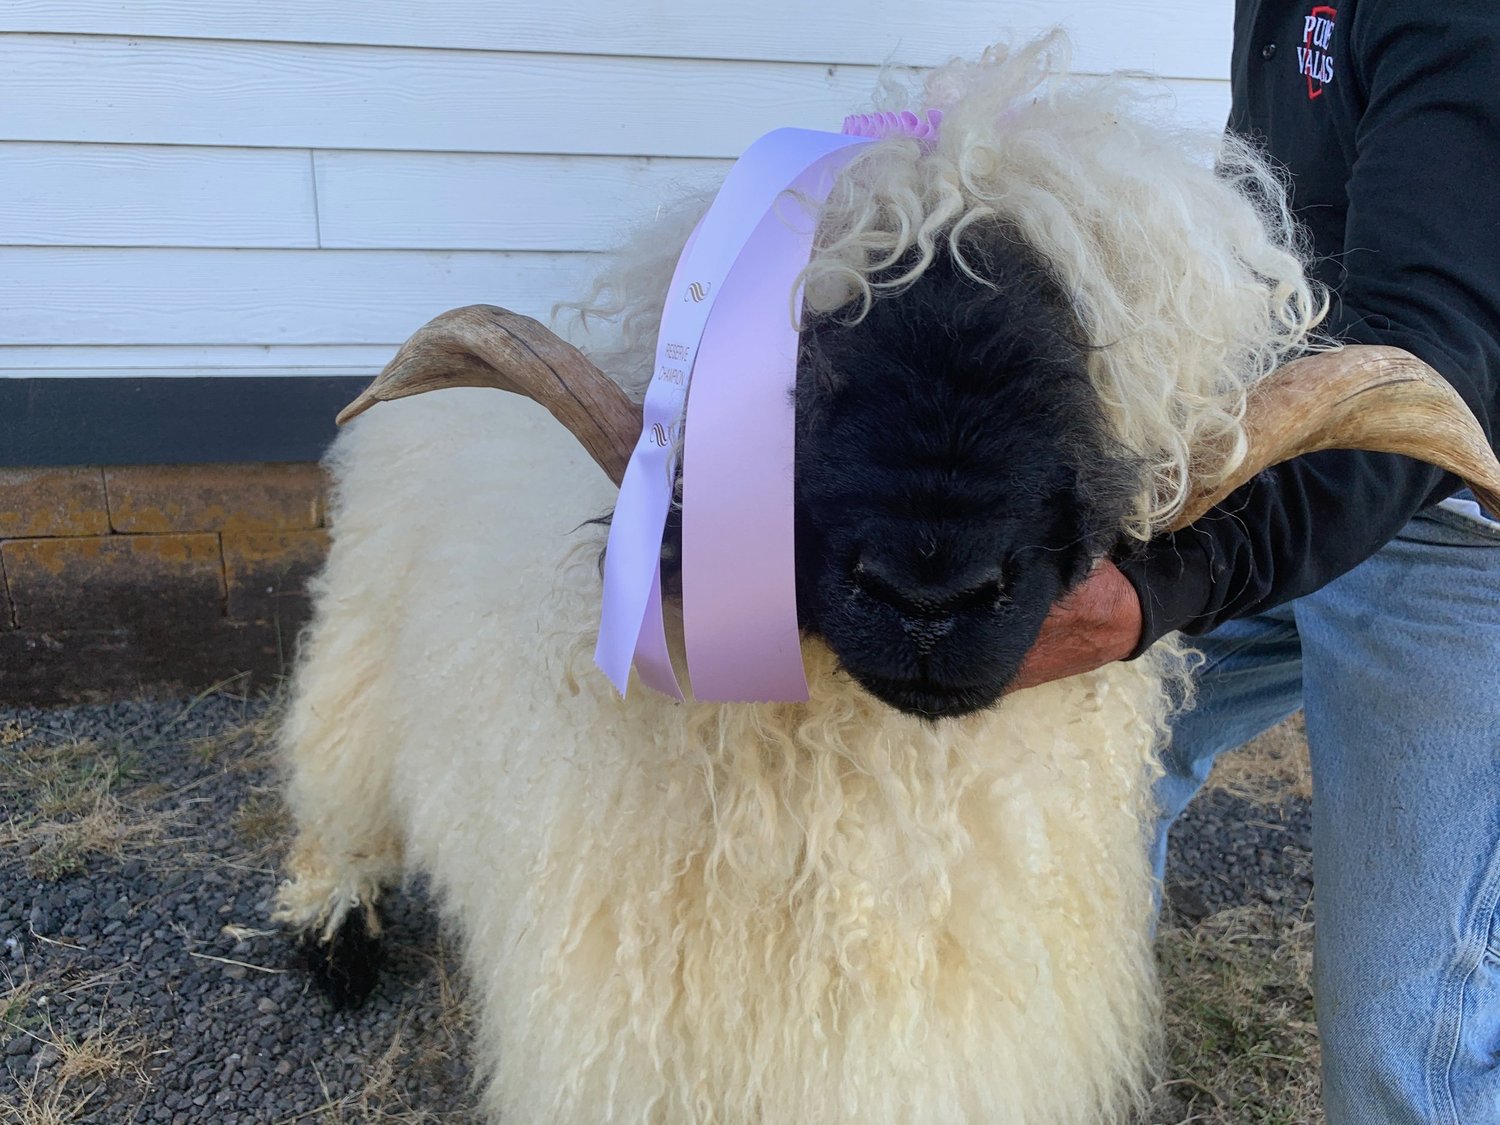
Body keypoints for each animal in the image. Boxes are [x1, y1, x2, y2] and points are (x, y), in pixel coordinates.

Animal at [271, 35, 1500, 1125]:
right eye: (810, 350)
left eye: (1084, 349)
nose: (928, 598)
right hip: (362, 639)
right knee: (334, 780)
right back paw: (333, 929)